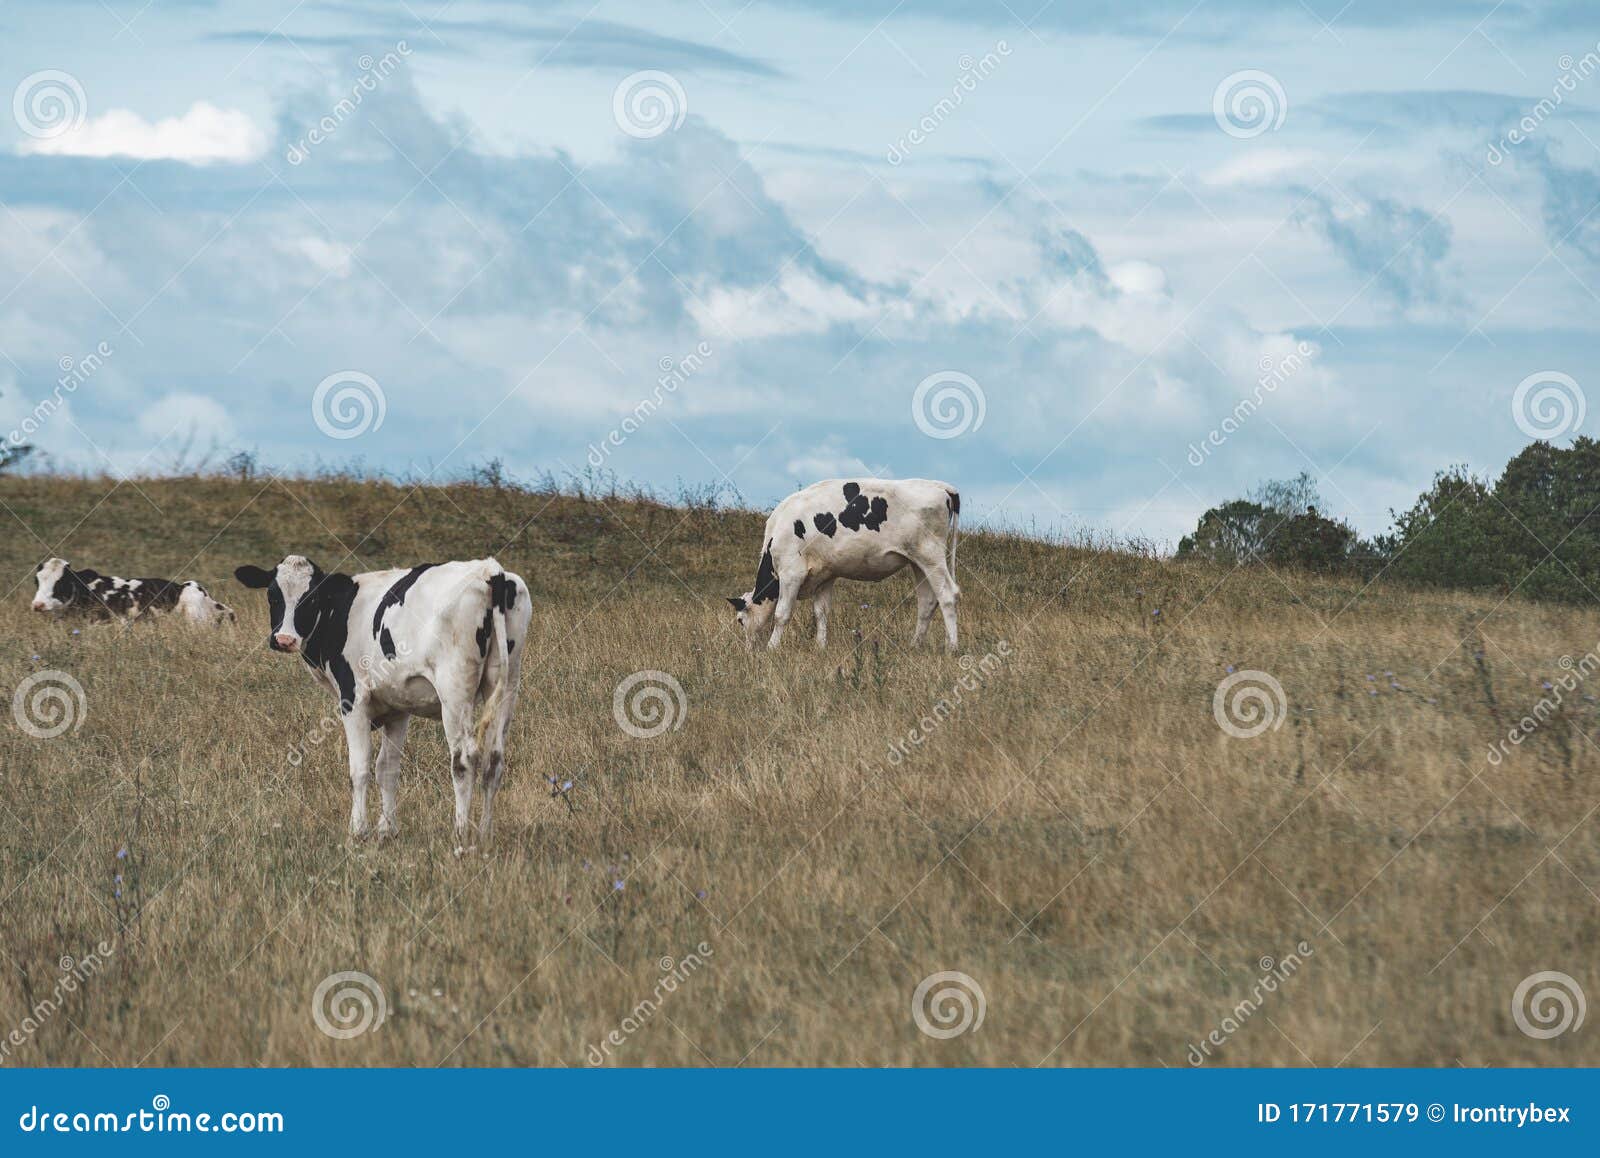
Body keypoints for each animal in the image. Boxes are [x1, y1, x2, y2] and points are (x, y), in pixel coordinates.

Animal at [233, 555, 531, 845]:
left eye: (312, 598)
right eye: (272, 595)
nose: (284, 639)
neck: (342, 610)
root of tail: (489, 568)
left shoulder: (353, 699)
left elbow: (360, 768)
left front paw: (358, 831)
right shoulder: (398, 708)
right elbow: (387, 768)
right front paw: (387, 830)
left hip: (454, 691)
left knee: (464, 760)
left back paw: (461, 834)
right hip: (506, 685)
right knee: (494, 760)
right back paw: (485, 834)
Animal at [728, 478, 961, 651]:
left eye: (740, 620)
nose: (748, 650)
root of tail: (941, 486)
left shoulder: (791, 573)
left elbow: (781, 614)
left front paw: (772, 648)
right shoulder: (824, 575)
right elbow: (820, 612)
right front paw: (820, 647)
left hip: (931, 554)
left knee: (947, 595)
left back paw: (952, 647)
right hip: (918, 561)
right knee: (927, 601)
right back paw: (915, 645)